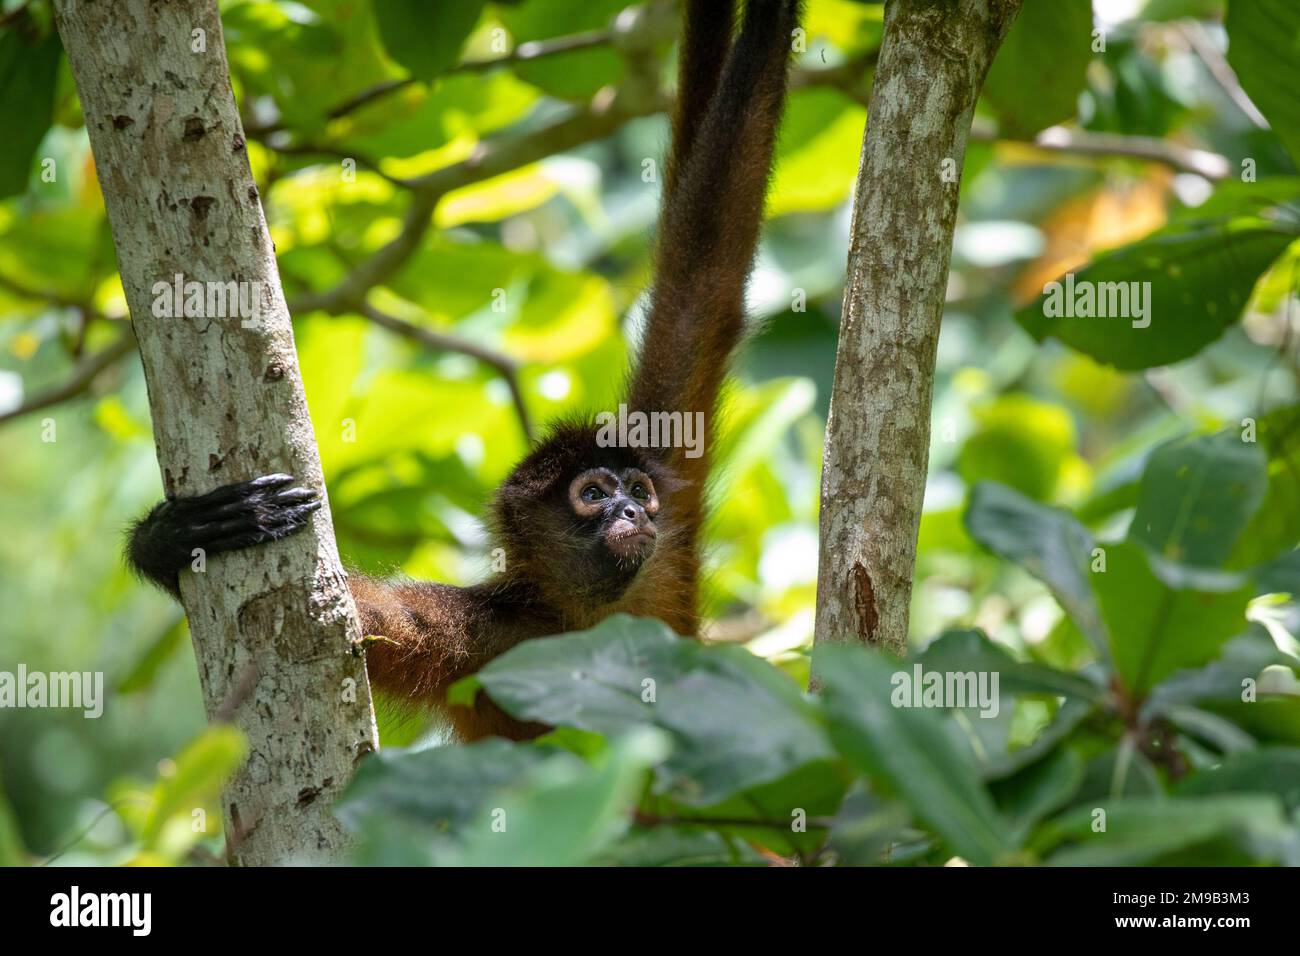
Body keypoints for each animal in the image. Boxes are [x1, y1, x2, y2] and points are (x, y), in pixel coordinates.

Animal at [126, 0, 802, 742]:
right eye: (593, 493)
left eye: (635, 490)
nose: (629, 509)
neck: (589, 618)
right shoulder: (475, 637)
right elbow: (335, 624)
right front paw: (169, 540)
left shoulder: (667, 533)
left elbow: (703, 283)